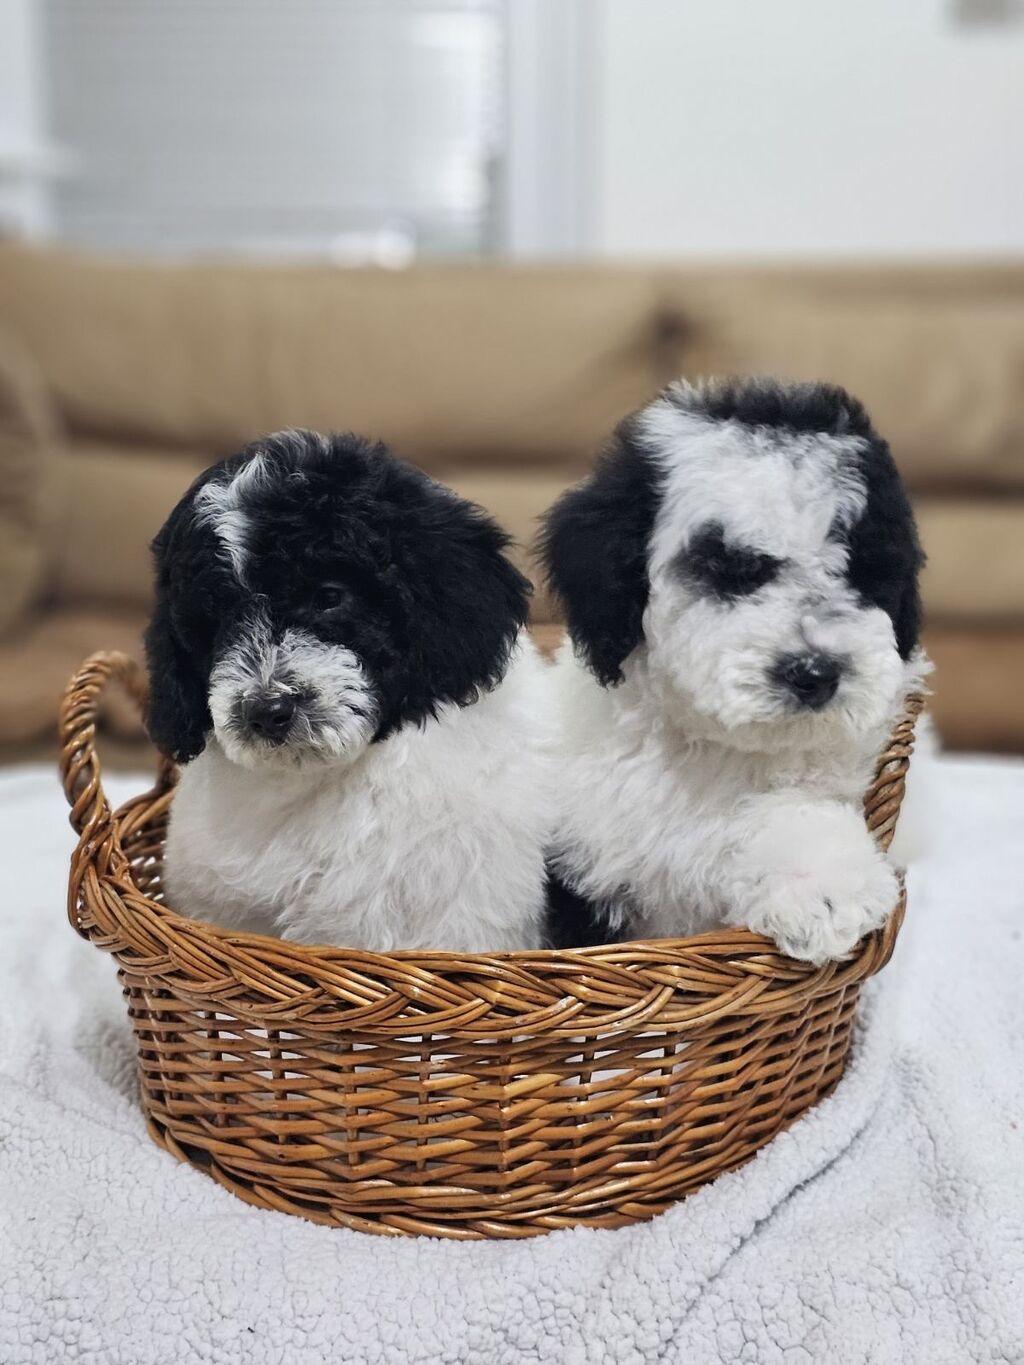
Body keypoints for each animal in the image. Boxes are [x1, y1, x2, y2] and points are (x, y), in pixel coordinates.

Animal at [540, 379, 928, 966]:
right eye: (735, 570)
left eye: (865, 574)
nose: (816, 673)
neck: (712, 746)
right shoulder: (584, 862)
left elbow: (799, 810)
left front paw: (821, 890)